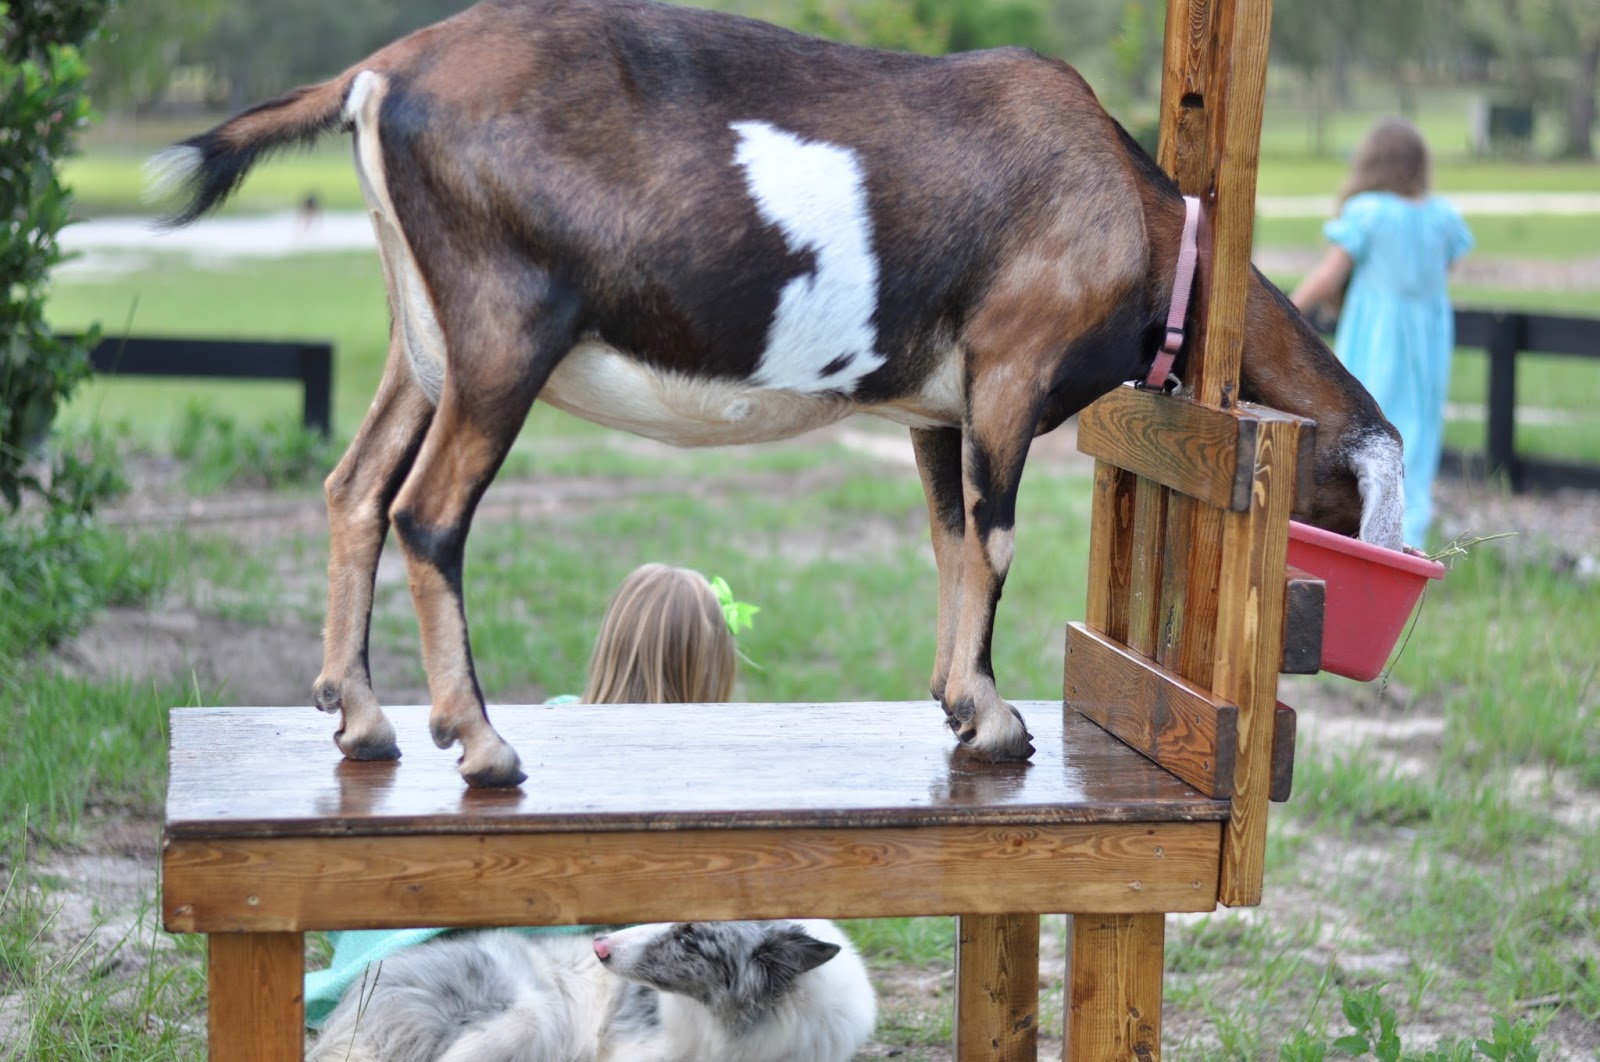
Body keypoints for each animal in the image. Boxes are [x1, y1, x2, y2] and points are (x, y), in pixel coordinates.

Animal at [153, 0, 1403, 787]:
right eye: (1353, 508)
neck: (1149, 230)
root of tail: (382, 72)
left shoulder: (939, 409)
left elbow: (950, 540)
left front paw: (957, 704)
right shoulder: (1011, 364)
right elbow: (996, 540)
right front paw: (997, 721)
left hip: (421, 342)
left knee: (354, 487)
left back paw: (362, 723)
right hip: (505, 329)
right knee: (427, 512)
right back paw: (482, 743)